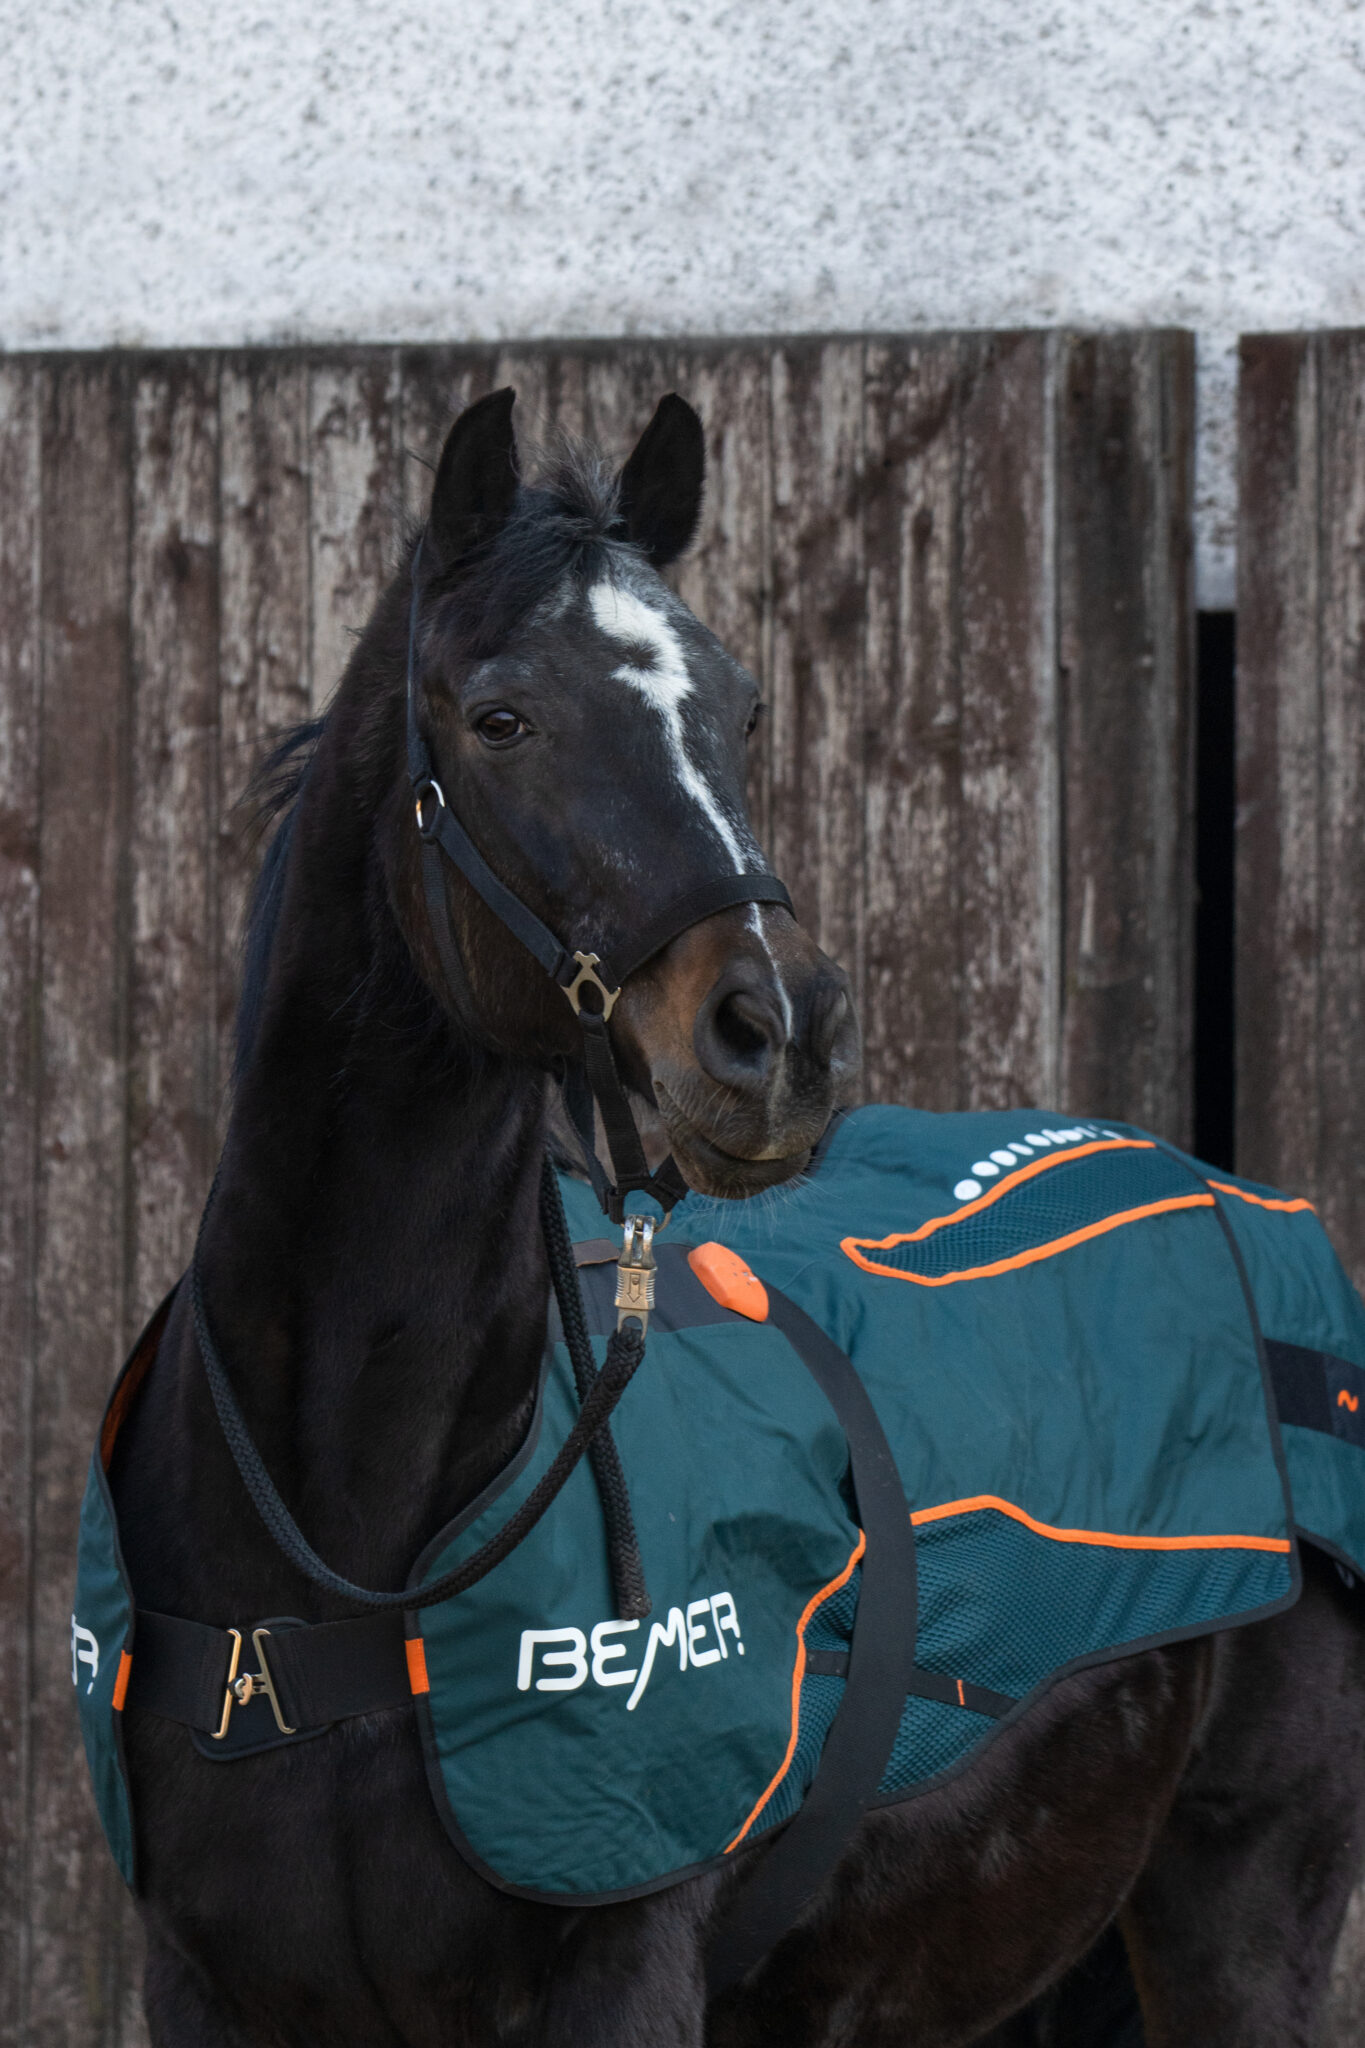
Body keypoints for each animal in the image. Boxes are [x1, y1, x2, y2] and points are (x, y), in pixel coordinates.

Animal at [104, 386, 1365, 2046]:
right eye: (498, 717)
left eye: (743, 710)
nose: (782, 1030)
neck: (335, 1563)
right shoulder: (207, 1986)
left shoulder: (623, 1976)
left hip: (1237, 1909)